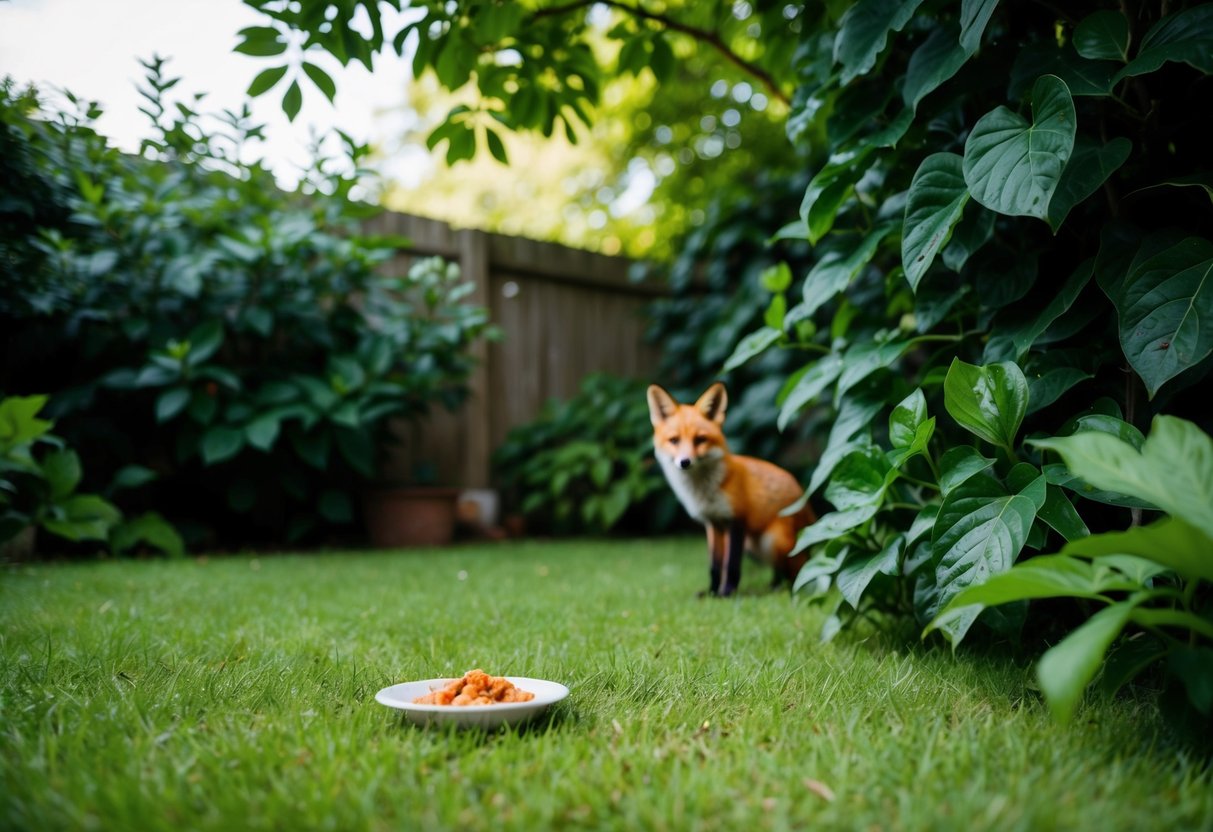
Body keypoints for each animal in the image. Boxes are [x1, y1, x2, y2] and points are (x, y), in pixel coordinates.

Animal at [647, 382, 816, 597]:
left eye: (700, 439)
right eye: (674, 440)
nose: (685, 462)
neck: (704, 492)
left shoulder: (736, 521)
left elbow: (732, 564)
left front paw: (727, 593)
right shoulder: (713, 524)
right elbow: (715, 565)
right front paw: (711, 592)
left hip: (774, 540)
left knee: (798, 569)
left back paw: (786, 589)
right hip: (752, 546)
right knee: (780, 569)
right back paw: (773, 586)